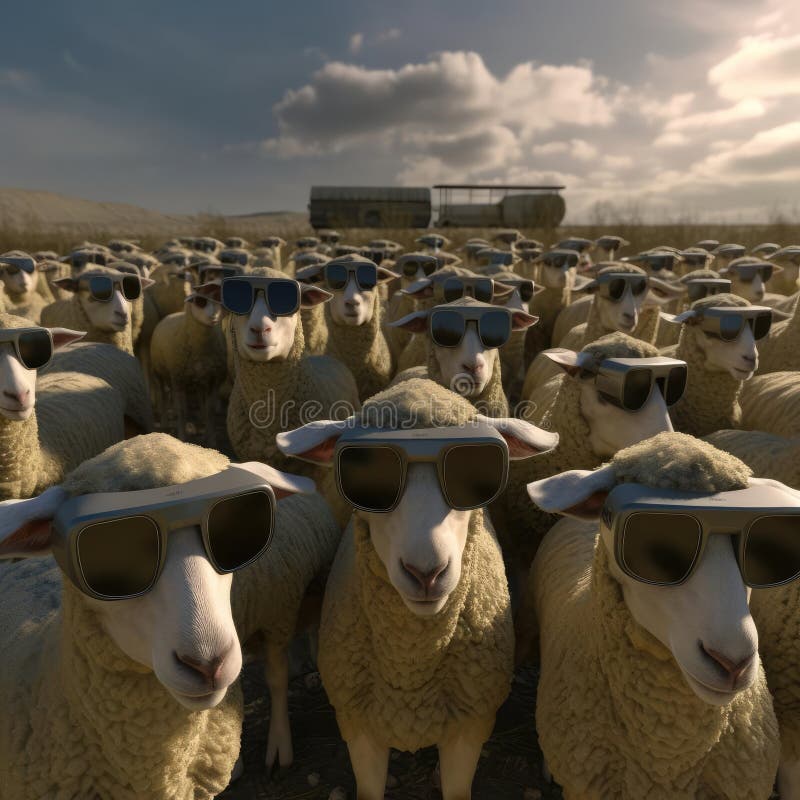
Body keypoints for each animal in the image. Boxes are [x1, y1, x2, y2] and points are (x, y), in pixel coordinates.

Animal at [150, 284, 227, 444]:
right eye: (199, 301)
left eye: (219, 300)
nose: (213, 317)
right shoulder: (178, 379)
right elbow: (182, 411)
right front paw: (182, 439)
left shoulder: (214, 379)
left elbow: (210, 411)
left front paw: (211, 440)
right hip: (159, 372)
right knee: (163, 396)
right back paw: (165, 423)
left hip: (196, 379)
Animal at [275, 378, 558, 800]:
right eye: (366, 477)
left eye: (476, 472)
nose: (426, 573)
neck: (411, 672)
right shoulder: (359, 727)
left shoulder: (468, 727)